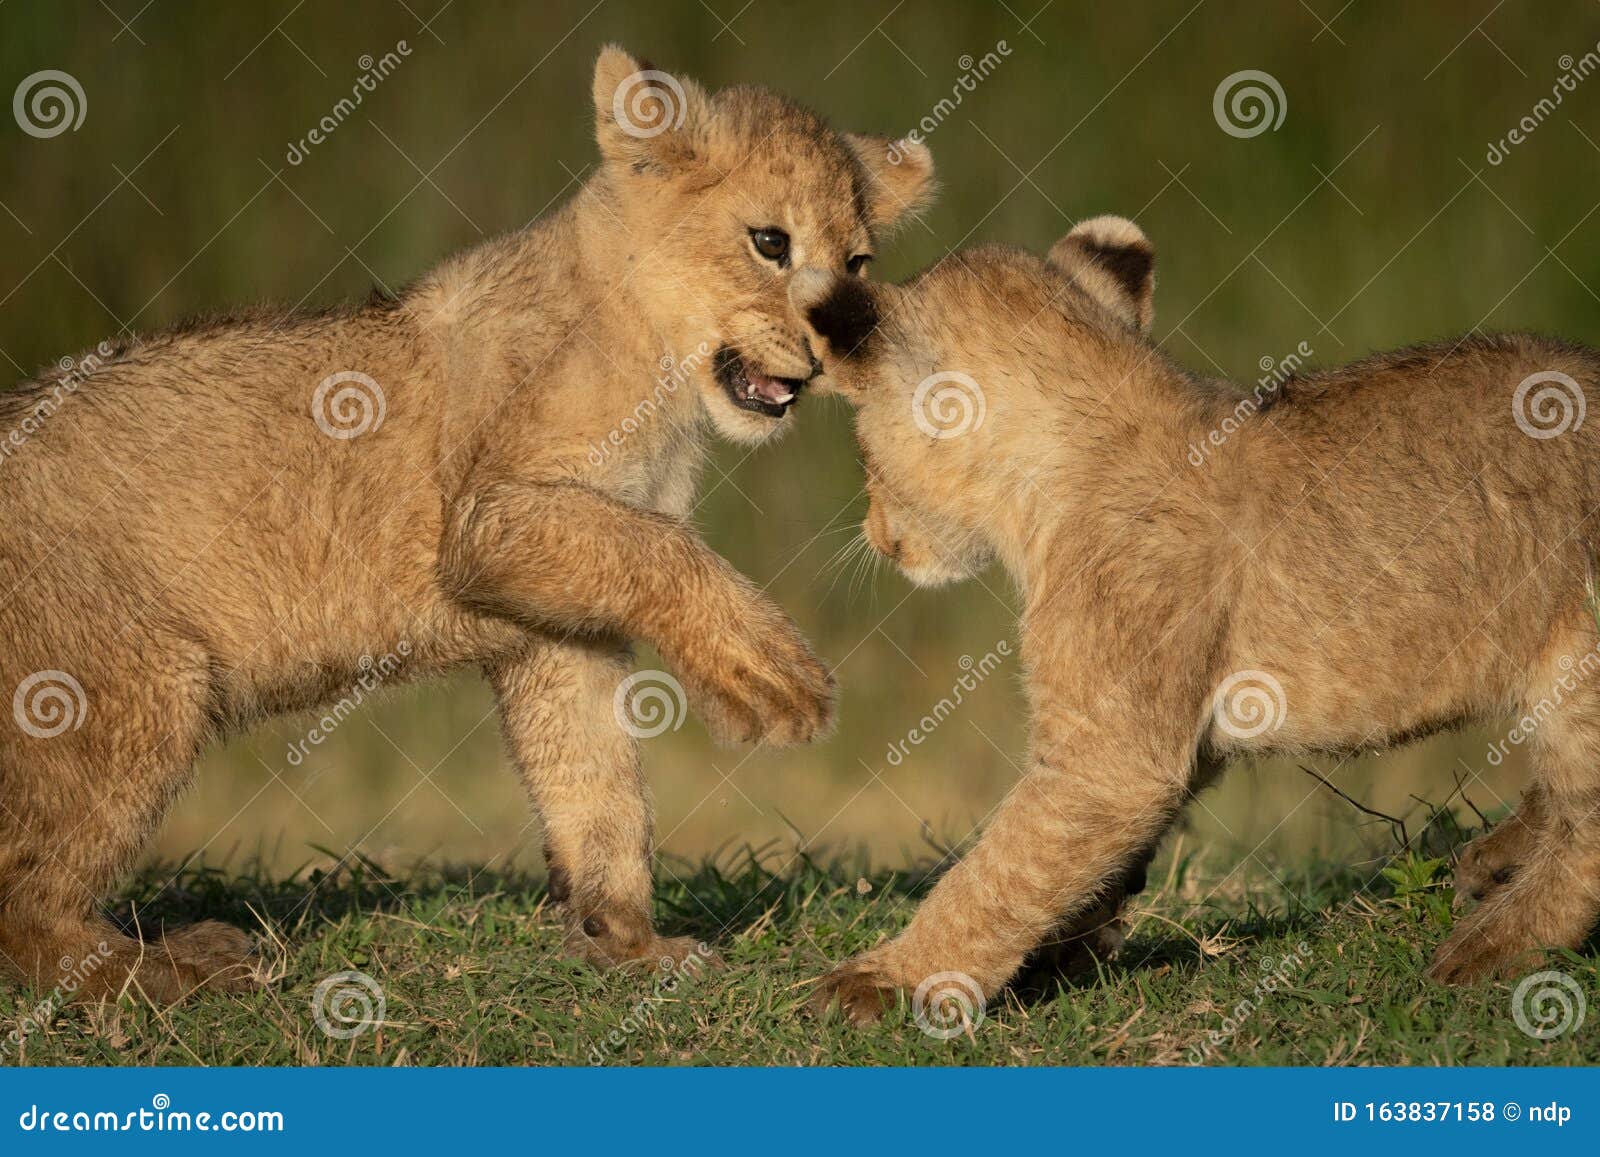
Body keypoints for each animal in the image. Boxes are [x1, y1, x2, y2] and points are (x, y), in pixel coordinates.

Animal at [0, 46, 934, 1001]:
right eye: (770, 242)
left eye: (859, 262)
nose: (830, 347)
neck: (658, 364)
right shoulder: (489, 521)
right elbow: (667, 549)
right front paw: (773, 678)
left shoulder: (558, 627)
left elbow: (597, 780)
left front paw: (628, 939)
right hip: (126, 686)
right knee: (27, 906)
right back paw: (170, 968)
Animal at [793, 216, 1600, 1023]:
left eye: (863, 450)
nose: (875, 533)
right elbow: (1077, 857)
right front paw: (1063, 948)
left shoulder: (1110, 751)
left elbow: (1001, 867)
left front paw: (887, 979)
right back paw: (1496, 860)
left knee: (1586, 829)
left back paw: (1488, 945)